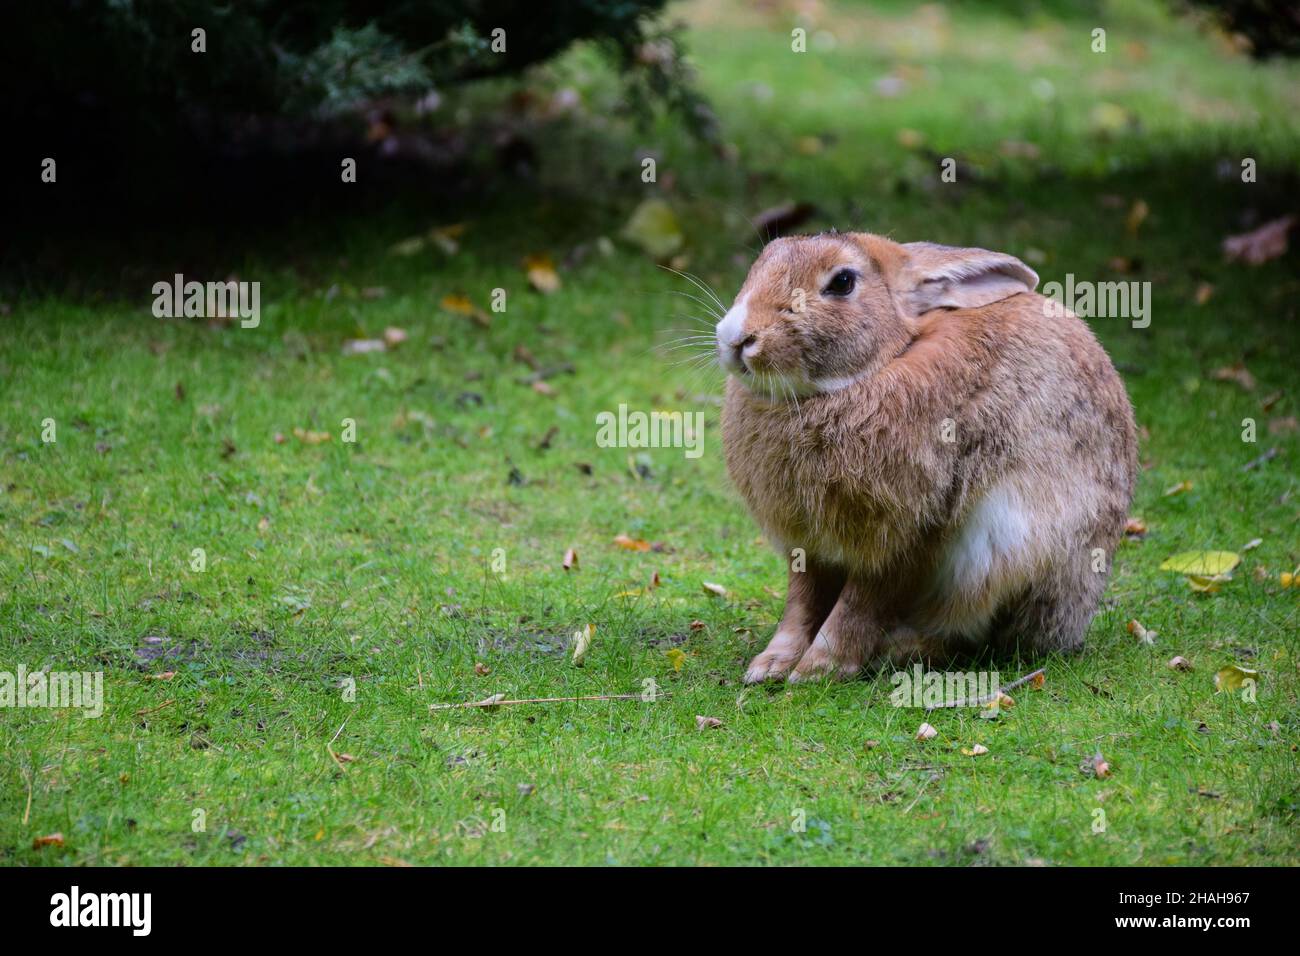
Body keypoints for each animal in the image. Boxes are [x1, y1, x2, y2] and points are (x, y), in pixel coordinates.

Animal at [715, 232, 1137, 682]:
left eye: (843, 282)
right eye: (765, 258)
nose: (735, 337)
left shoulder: (908, 534)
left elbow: (860, 604)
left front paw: (819, 668)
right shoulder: (809, 546)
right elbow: (802, 602)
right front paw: (771, 665)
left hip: (1013, 552)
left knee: (971, 635)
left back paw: (895, 650)